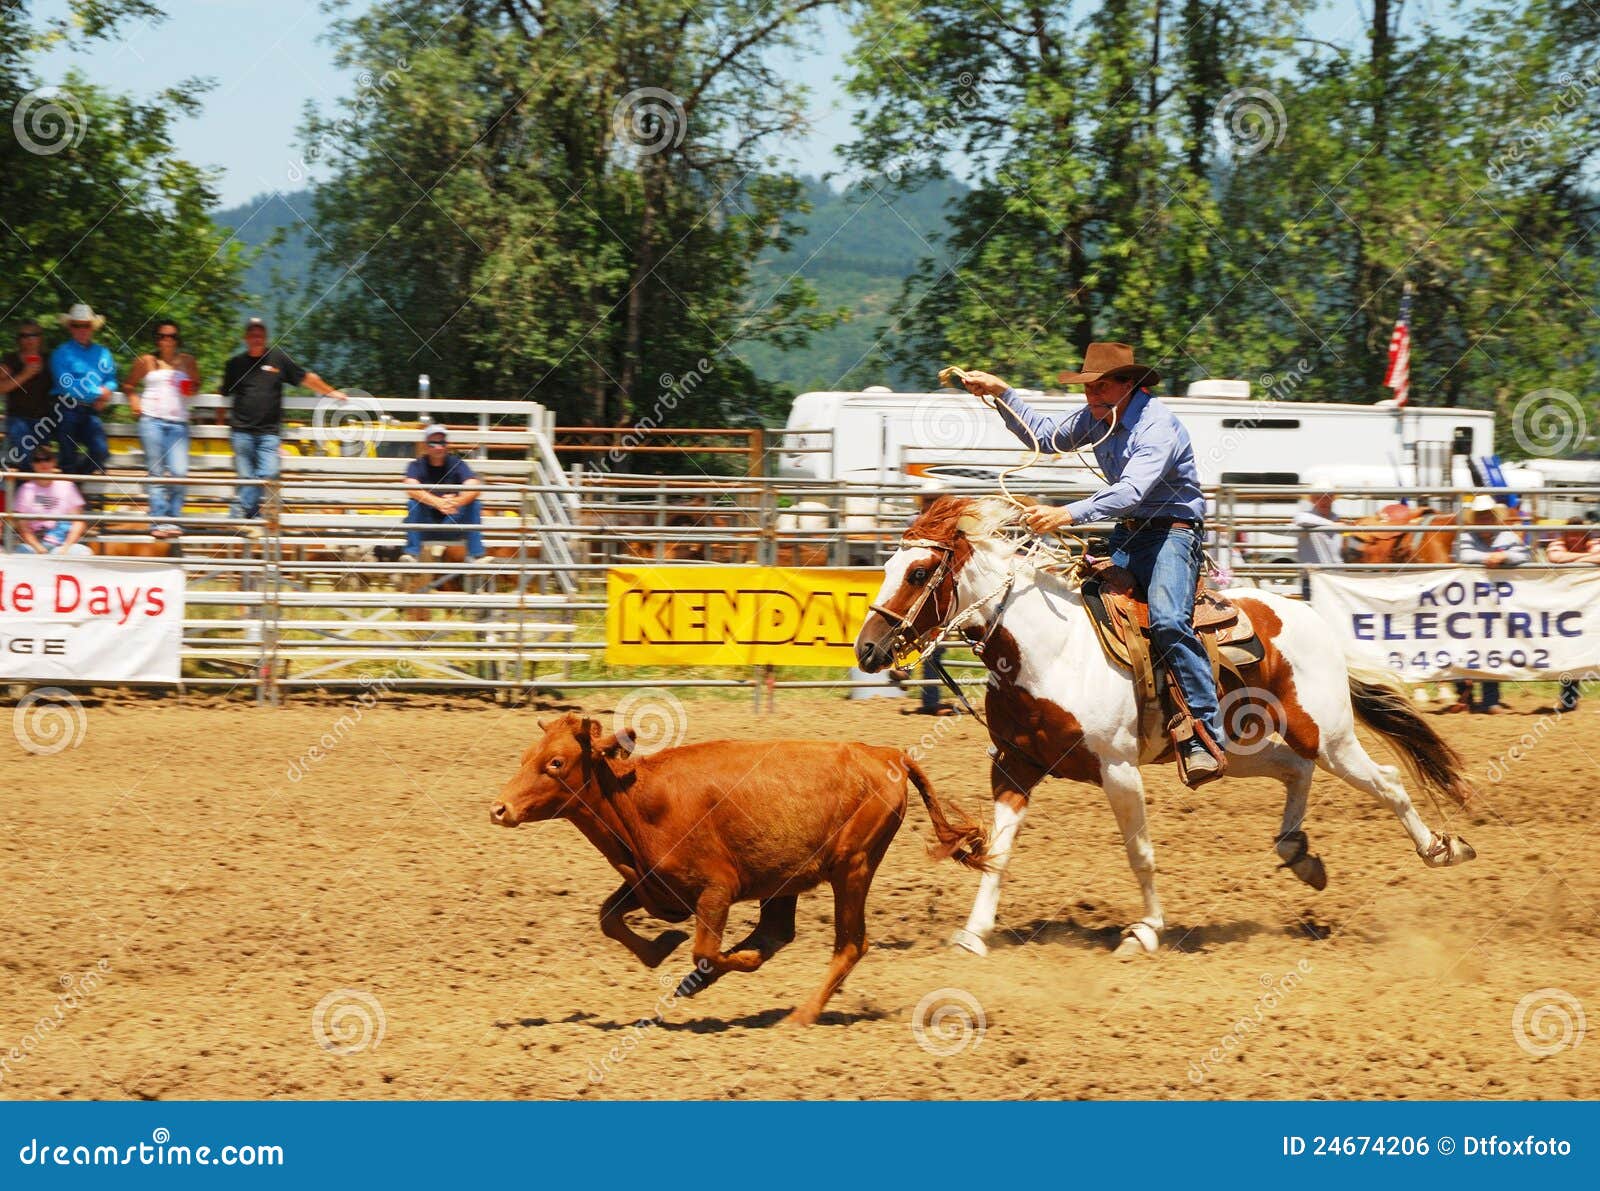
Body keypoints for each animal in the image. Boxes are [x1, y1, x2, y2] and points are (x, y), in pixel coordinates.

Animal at [490, 712, 986, 1025]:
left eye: (556, 762)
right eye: (524, 757)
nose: (499, 809)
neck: (639, 800)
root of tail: (886, 755)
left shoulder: (716, 890)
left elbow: (705, 951)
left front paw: (711, 964)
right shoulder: (653, 884)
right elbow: (608, 917)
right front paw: (662, 947)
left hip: (853, 867)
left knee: (849, 945)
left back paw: (800, 1015)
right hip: (786, 881)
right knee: (777, 932)